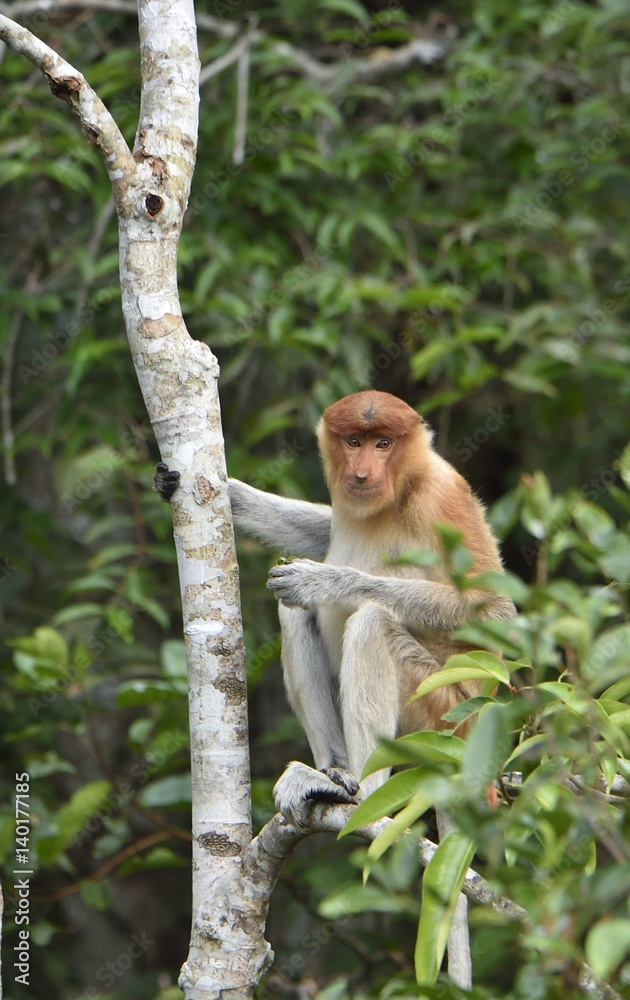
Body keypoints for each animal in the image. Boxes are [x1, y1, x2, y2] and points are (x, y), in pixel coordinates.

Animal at [155, 390, 515, 828]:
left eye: (383, 444)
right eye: (354, 442)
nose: (361, 475)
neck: (400, 488)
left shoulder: (442, 496)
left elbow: (493, 609)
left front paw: (317, 581)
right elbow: (322, 533)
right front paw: (217, 491)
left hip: (444, 713)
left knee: (372, 623)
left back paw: (359, 795)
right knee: (296, 614)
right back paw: (335, 771)